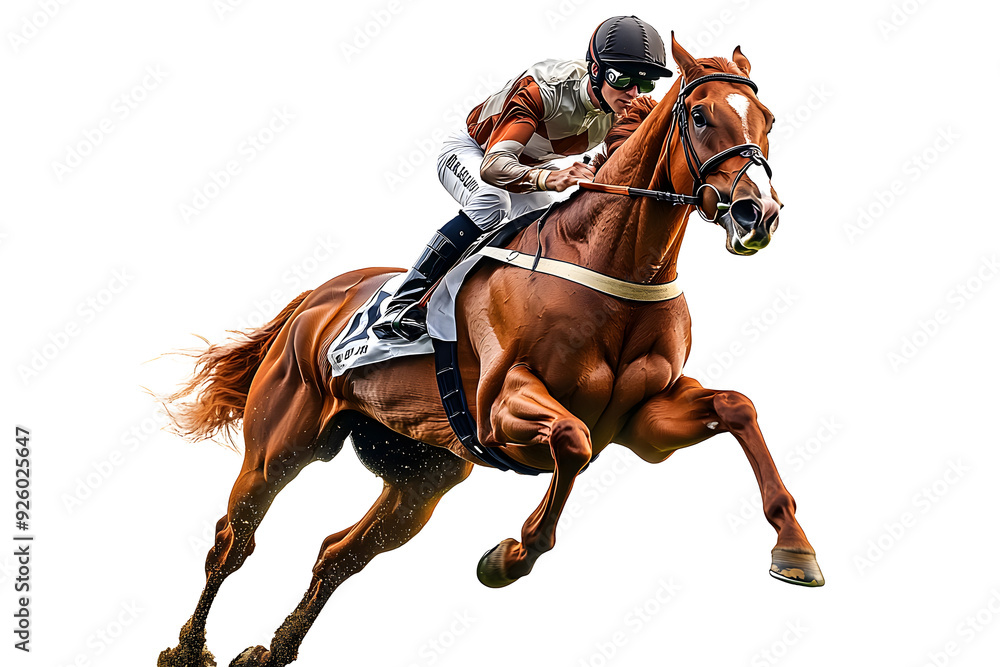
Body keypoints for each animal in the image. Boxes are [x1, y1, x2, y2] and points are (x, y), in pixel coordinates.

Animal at [157, 35, 823, 667]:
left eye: (766, 117)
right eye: (703, 115)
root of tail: (315, 299)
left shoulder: (644, 423)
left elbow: (737, 407)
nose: (758, 212)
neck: (611, 263)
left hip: (420, 476)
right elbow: (572, 441)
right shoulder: (499, 409)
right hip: (281, 442)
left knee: (339, 554)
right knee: (232, 541)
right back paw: (188, 649)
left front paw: (795, 550)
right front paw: (509, 556)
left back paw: (270, 651)